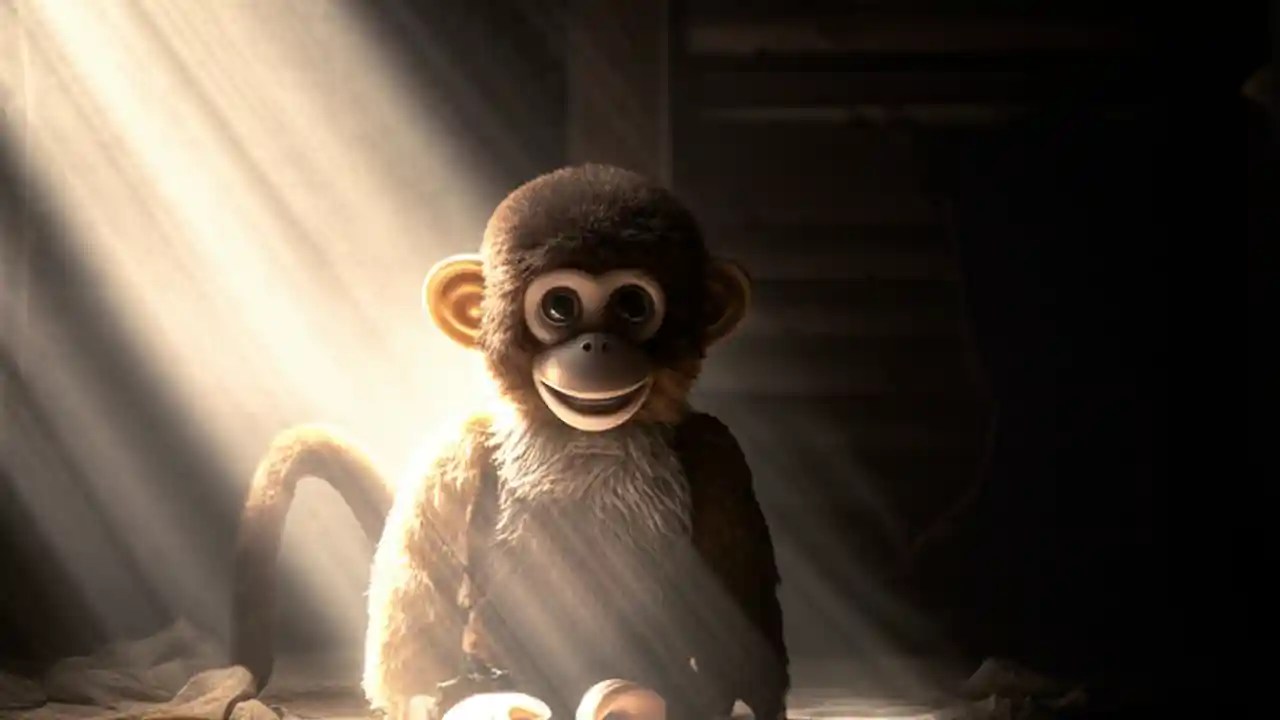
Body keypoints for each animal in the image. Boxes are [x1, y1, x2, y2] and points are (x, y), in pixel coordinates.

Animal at [231, 164, 789, 720]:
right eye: (560, 306)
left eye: (633, 305)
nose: (597, 345)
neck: (585, 438)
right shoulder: (459, 446)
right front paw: (420, 697)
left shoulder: (717, 449)